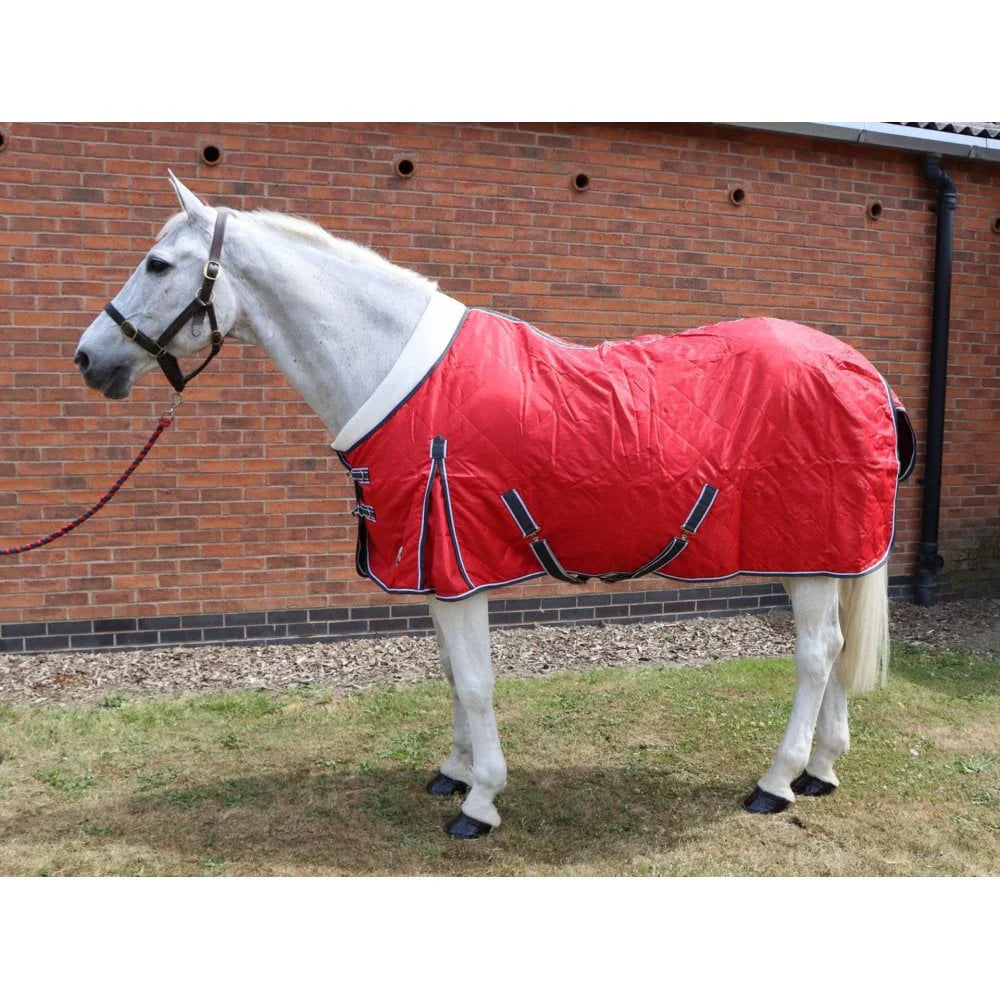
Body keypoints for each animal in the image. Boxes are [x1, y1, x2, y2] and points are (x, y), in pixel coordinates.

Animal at [73, 174, 913, 838]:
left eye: (157, 263)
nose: (88, 358)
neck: (397, 373)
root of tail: (860, 370)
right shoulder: (438, 573)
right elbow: (450, 673)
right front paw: (453, 771)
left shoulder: (457, 565)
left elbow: (474, 682)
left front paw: (479, 803)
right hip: (834, 557)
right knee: (839, 652)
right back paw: (821, 771)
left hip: (809, 557)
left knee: (815, 654)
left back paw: (777, 782)